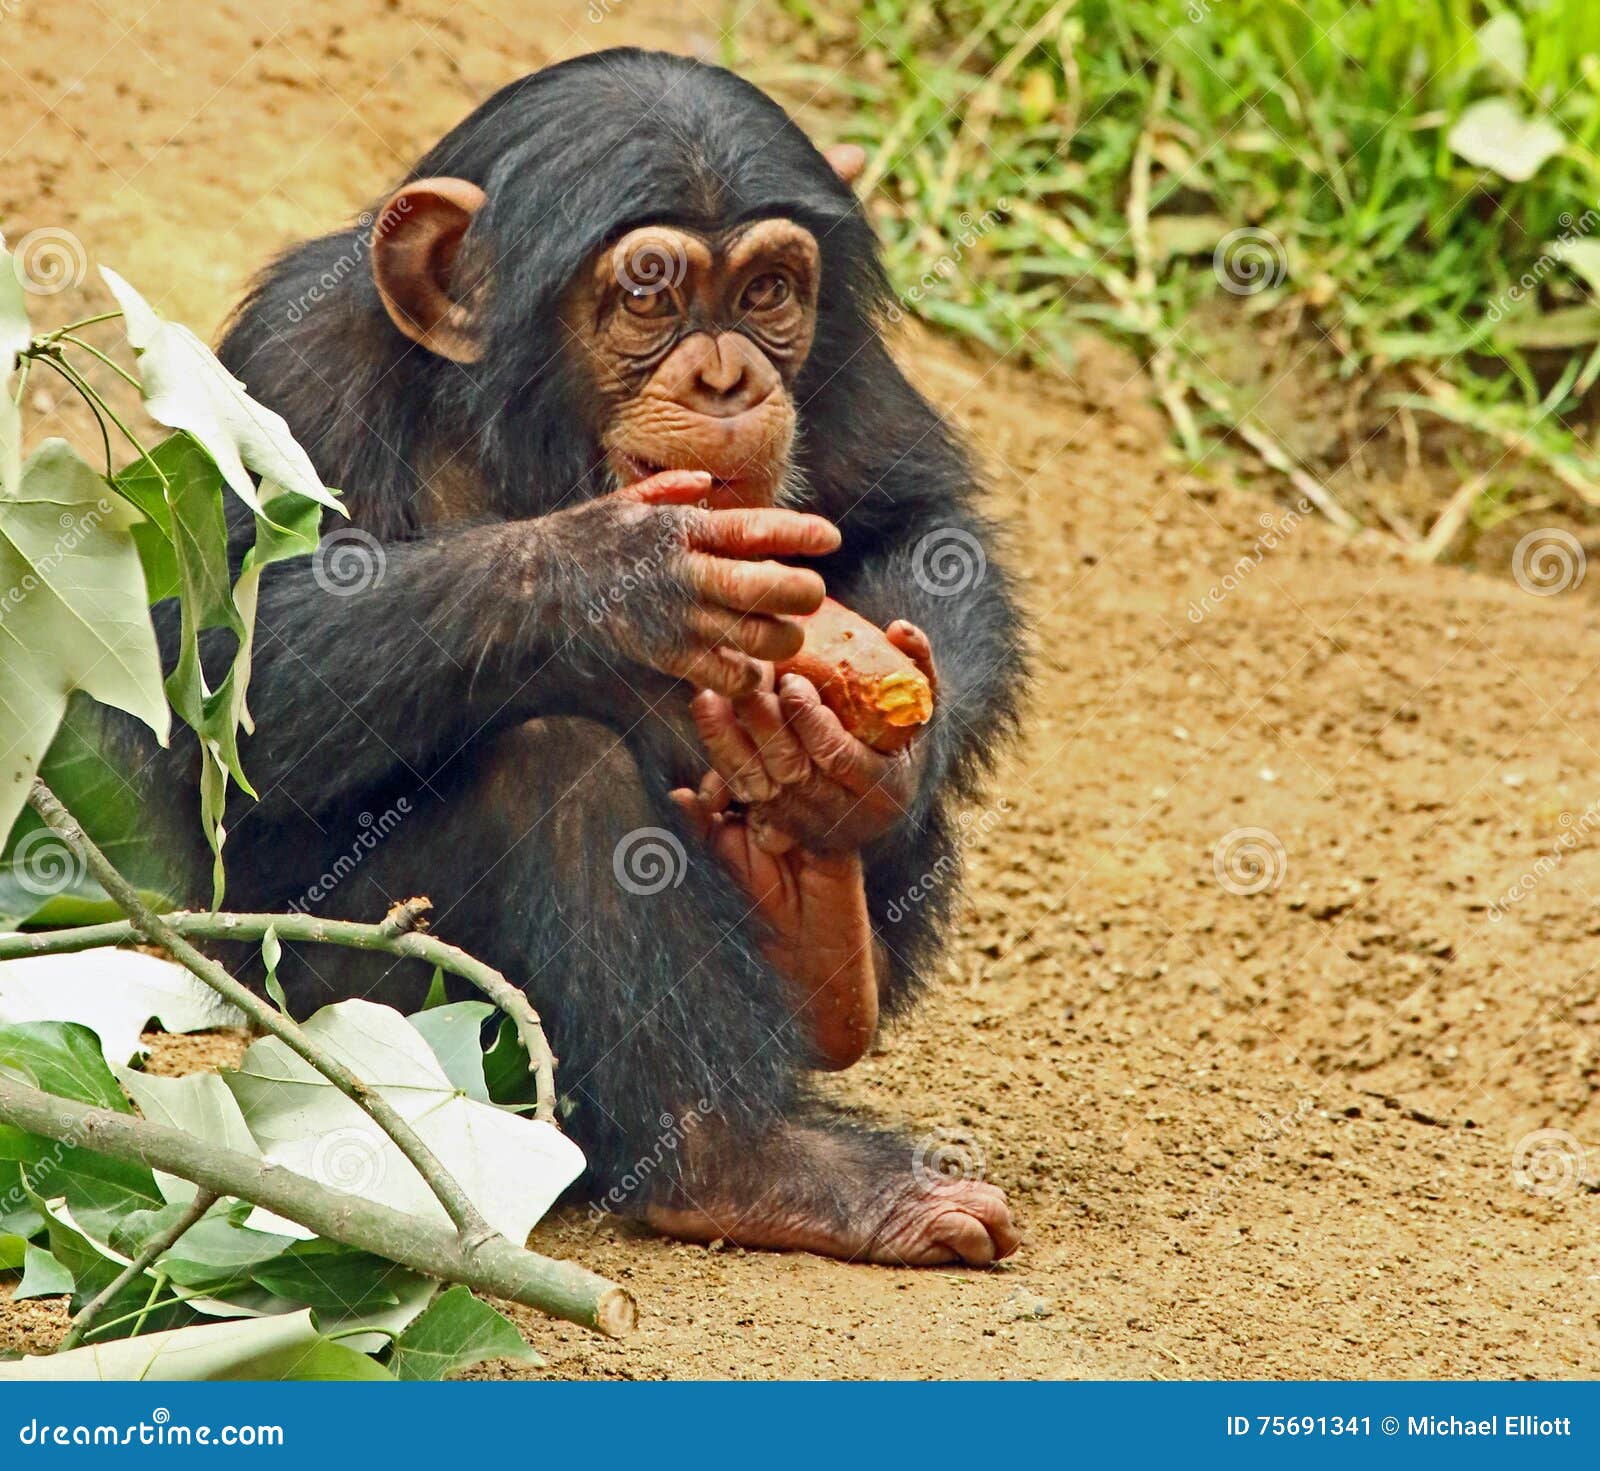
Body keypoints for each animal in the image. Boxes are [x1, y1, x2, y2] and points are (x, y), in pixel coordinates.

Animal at [125, 48, 1026, 1266]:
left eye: (767, 293)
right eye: (648, 292)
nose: (728, 377)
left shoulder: (840, 364)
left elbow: (917, 521)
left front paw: (857, 764)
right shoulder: (294, 361)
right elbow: (229, 670)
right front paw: (630, 572)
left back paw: (814, 918)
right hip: (336, 987)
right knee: (561, 772)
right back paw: (754, 1165)